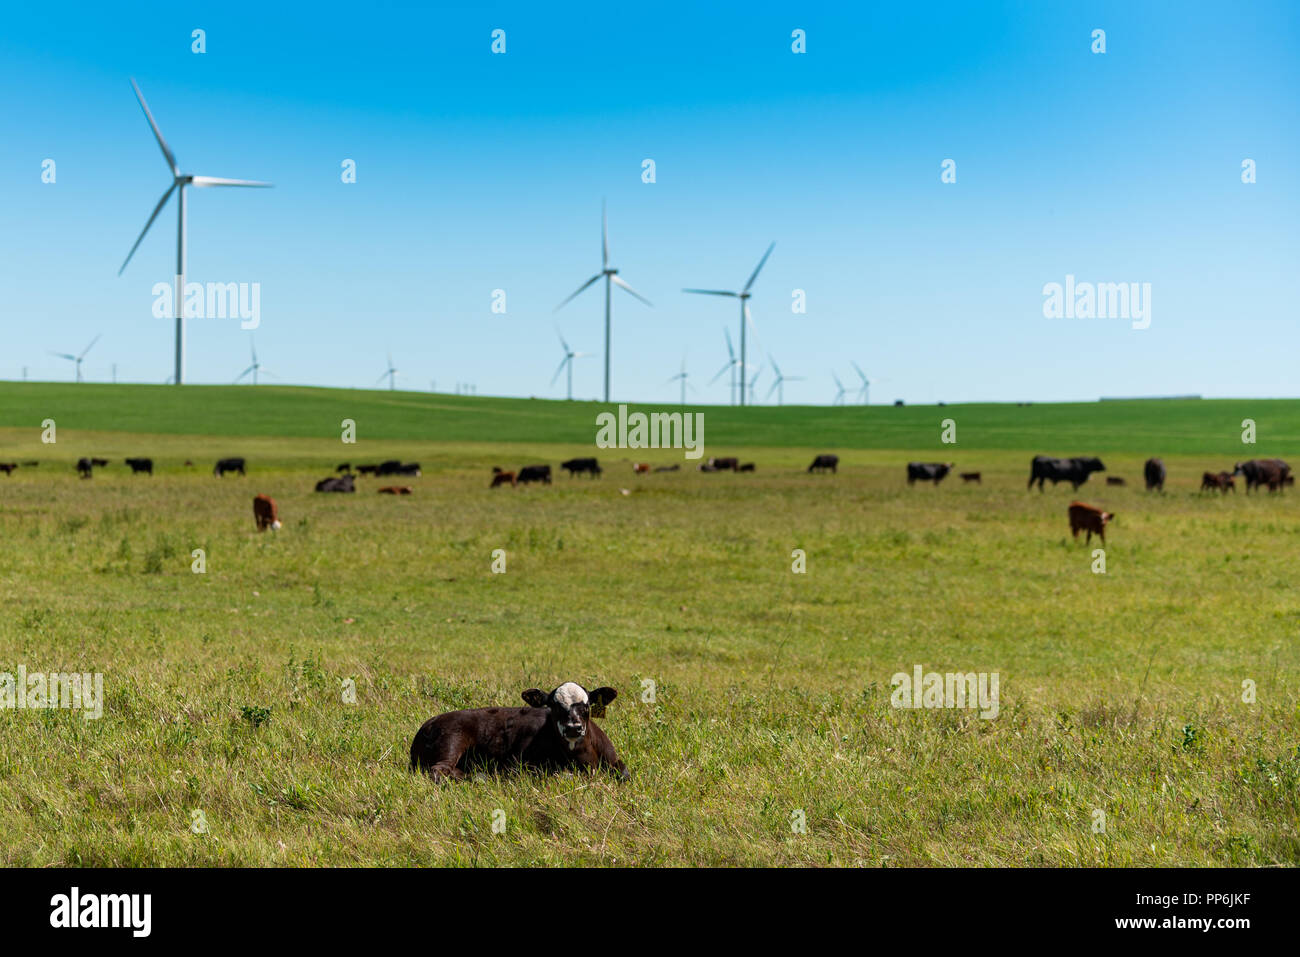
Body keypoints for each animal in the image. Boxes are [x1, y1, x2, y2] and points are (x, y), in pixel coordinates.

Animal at [410, 681, 628, 783]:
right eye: (553, 706)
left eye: (587, 705)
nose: (573, 727)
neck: (585, 759)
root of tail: (429, 723)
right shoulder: (522, 766)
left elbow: (624, 772)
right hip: (452, 741)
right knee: (439, 771)